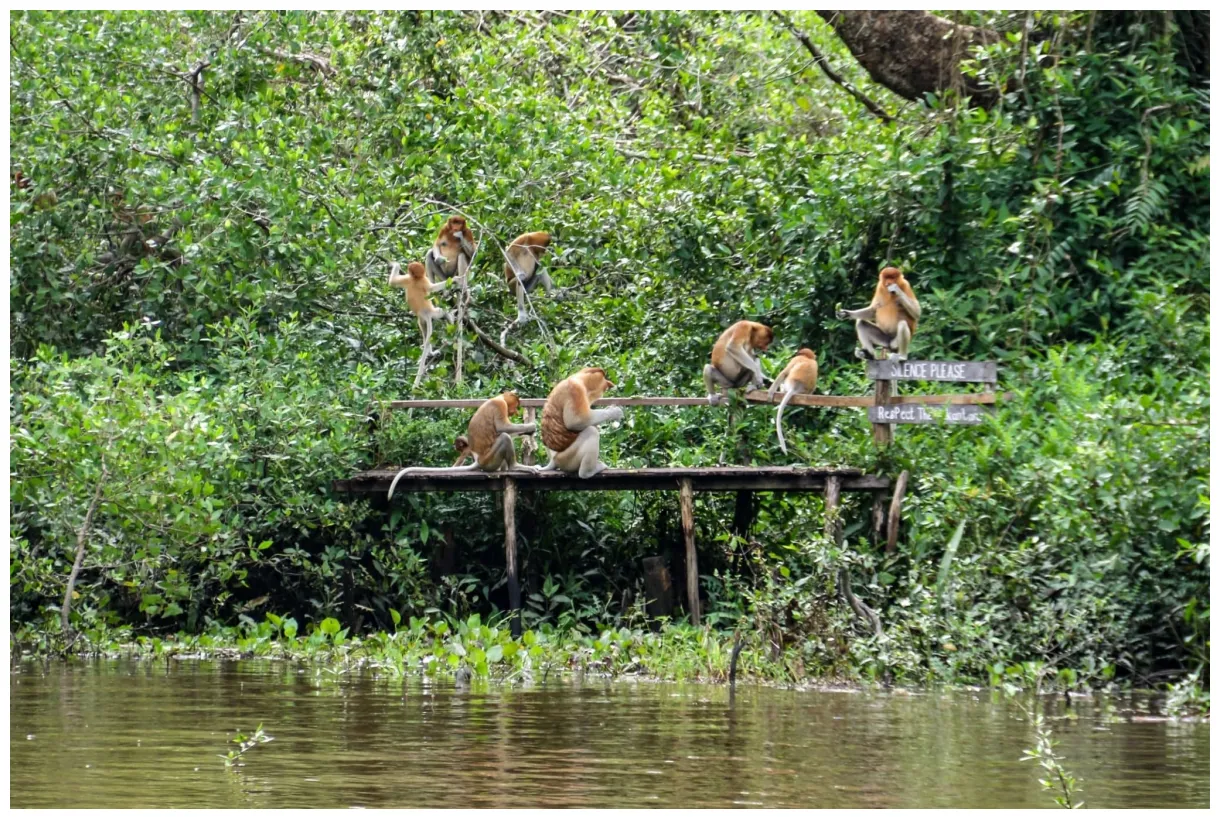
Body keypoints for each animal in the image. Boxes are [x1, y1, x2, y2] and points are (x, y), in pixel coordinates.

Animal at [387, 391, 538, 499]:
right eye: (515, 406)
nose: (516, 412)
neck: (498, 397)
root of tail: (478, 460)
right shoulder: (500, 405)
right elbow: (502, 427)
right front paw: (531, 426)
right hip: (490, 460)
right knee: (504, 437)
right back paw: (515, 467)